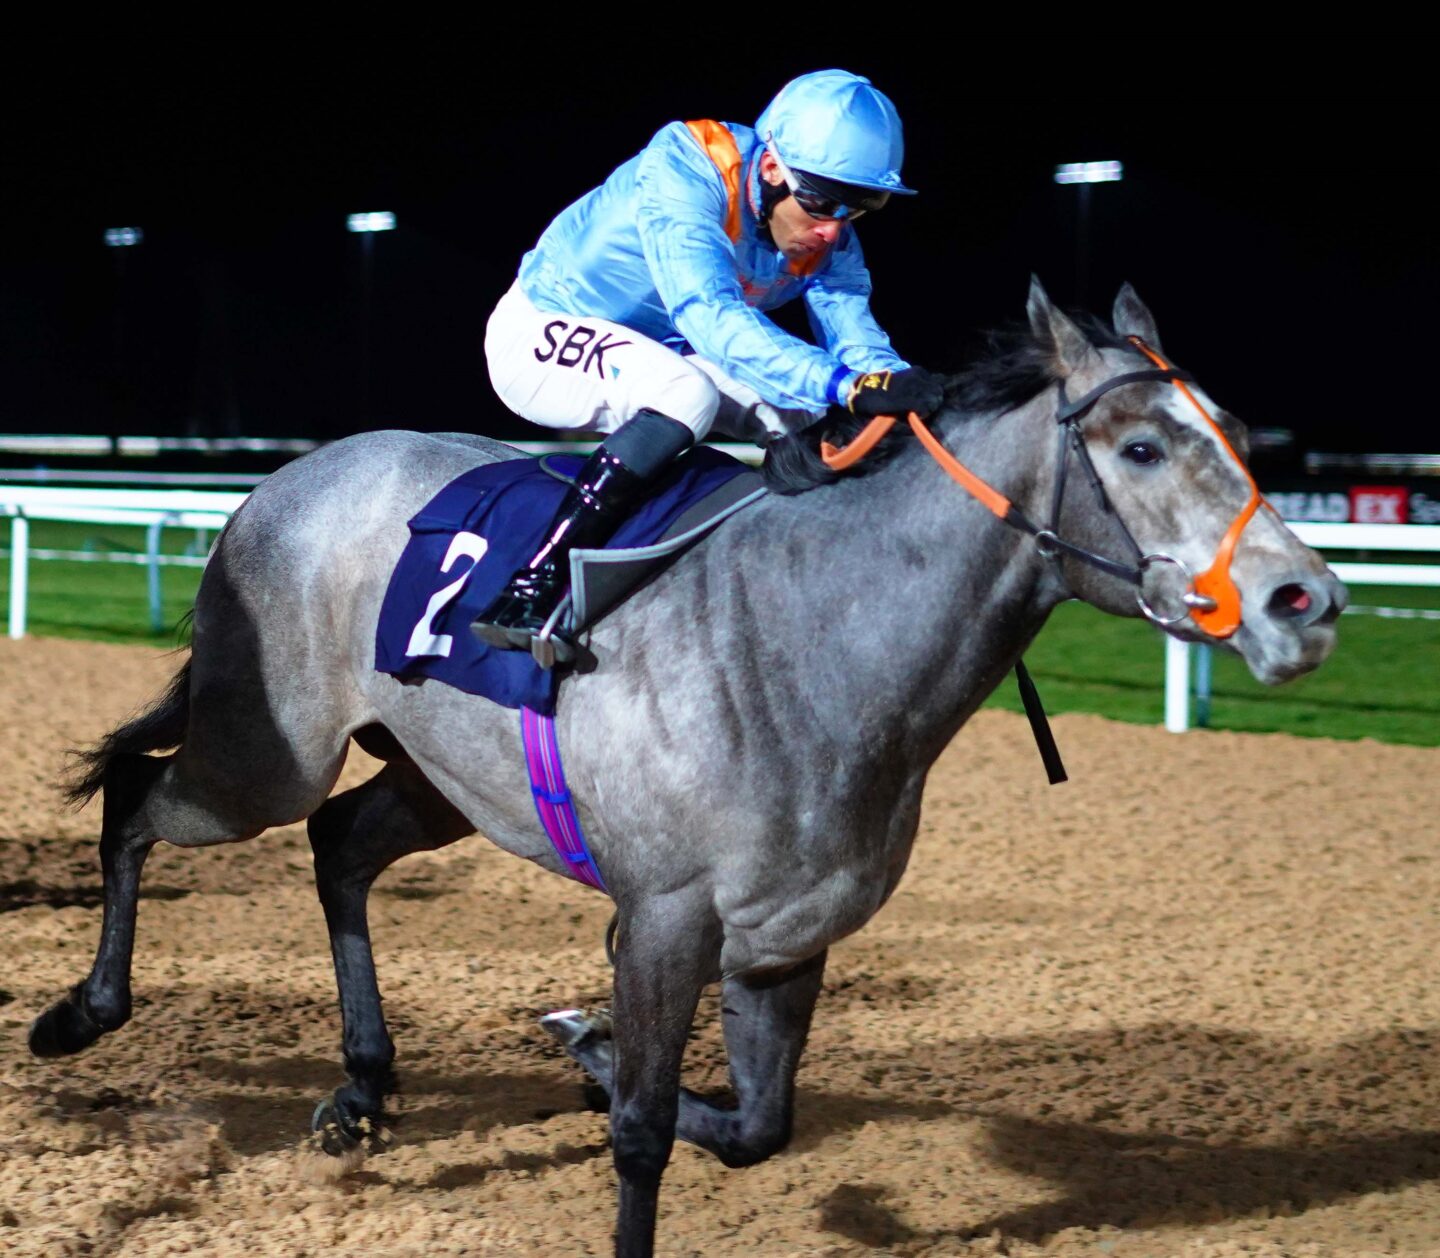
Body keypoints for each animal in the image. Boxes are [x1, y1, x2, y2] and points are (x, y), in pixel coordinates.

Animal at [28, 281, 1343, 1257]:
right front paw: (602, 1061)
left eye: (1237, 436)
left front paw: (586, 1049)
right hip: (265, 750)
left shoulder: (785, 934)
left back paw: (363, 1081)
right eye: (1142, 444)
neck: (813, 641)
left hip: (440, 779)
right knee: (144, 801)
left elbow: (758, 1124)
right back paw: (83, 1011)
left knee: (339, 846)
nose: (1308, 602)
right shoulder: (663, 917)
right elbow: (645, 1132)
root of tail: (286, 478)